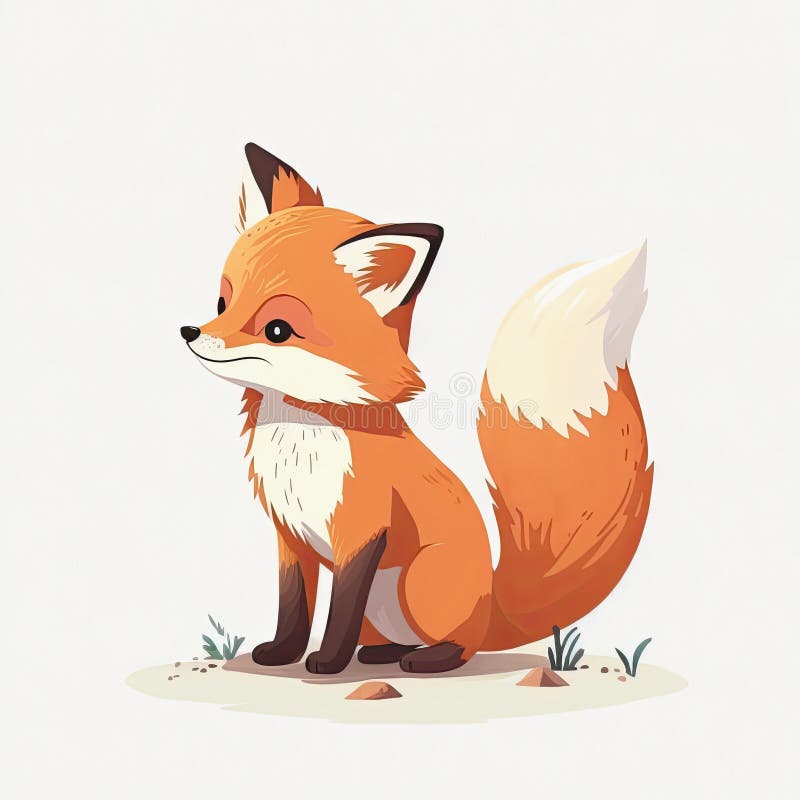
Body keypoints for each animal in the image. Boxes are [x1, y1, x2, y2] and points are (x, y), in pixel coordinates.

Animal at [179, 142, 653, 674]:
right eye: (222, 303)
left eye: (277, 329)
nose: (190, 333)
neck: (302, 435)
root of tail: (492, 603)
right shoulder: (290, 537)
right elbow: (293, 607)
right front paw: (282, 653)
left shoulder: (362, 533)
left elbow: (339, 610)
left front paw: (327, 662)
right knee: (397, 639)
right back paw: (383, 653)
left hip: (418, 581)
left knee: (461, 644)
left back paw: (429, 660)